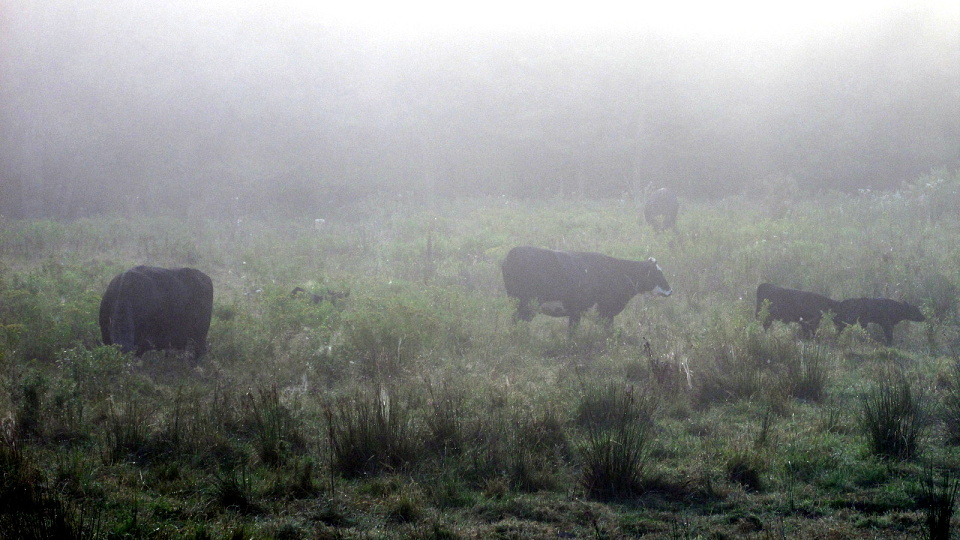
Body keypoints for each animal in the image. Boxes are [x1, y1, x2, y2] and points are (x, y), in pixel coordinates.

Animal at [501, 246, 672, 332]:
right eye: (657, 273)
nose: (670, 290)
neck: (618, 272)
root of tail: (514, 252)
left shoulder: (576, 313)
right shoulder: (606, 312)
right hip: (526, 304)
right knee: (516, 321)